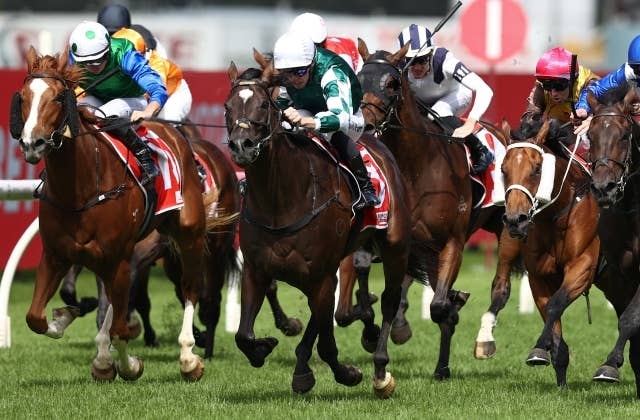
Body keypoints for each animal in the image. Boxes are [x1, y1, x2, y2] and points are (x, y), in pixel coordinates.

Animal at [10, 46, 213, 381]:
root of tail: (170, 129)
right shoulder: (56, 255)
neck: (79, 190)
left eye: (57, 97)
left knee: (190, 288)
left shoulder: (117, 256)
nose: (32, 143)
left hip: (189, 233)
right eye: (24, 97)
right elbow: (34, 318)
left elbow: (122, 328)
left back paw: (188, 358)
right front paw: (67, 317)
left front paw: (130, 365)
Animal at [225, 54, 412, 398]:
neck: (281, 202)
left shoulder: (319, 275)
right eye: (228, 106)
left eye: (263, 104)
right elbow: (244, 336)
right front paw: (267, 346)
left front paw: (348, 373)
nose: (241, 146)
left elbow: (327, 344)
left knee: (390, 300)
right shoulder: (256, 271)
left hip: (395, 249)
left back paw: (380, 368)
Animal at [353, 39, 511, 379]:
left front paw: (453, 305)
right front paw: (377, 334)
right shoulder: (396, 241)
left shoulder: (453, 241)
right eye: (358, 80)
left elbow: (438, 306)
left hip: (506, 227)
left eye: (392, 83)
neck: (416, 166)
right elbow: (375, 284)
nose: (367, 126)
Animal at [499, 118, 603, 387]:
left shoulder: (583, 266)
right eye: (503, 170)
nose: (515, 220)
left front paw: (538, 347)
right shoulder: (538, 276)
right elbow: (550, 311)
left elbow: (557, 303)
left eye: (537, 169)